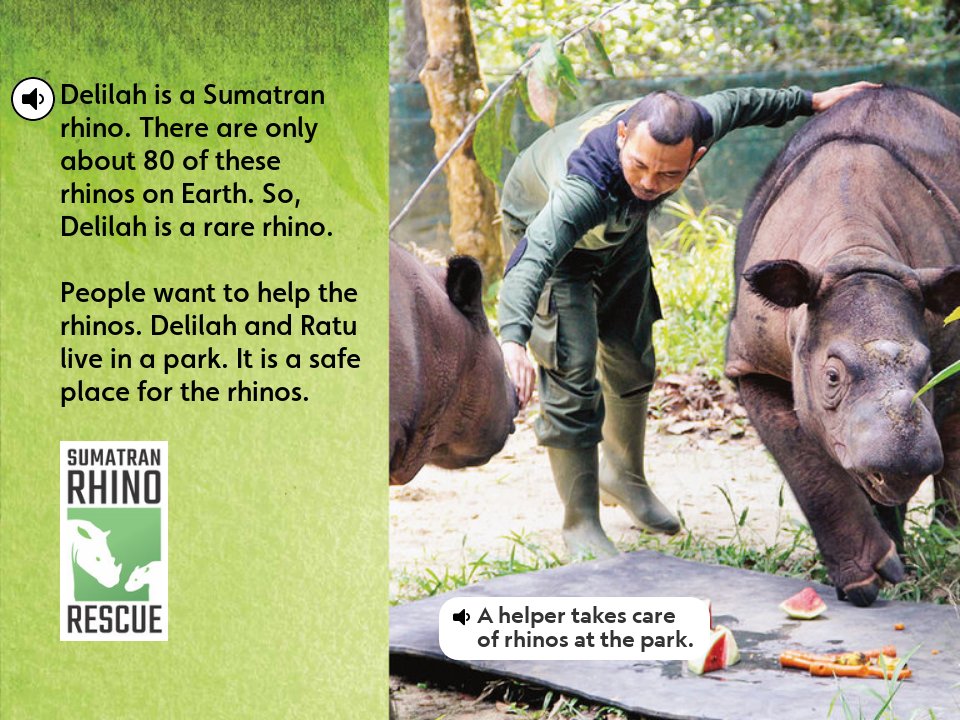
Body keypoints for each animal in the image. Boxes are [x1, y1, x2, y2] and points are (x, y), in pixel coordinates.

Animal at [726, 87, 960, 606]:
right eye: (830, 377)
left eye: (928, 371)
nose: (903, 466)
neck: (856, 252)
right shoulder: (751, 362)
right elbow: (806, 464)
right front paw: (864, 579)